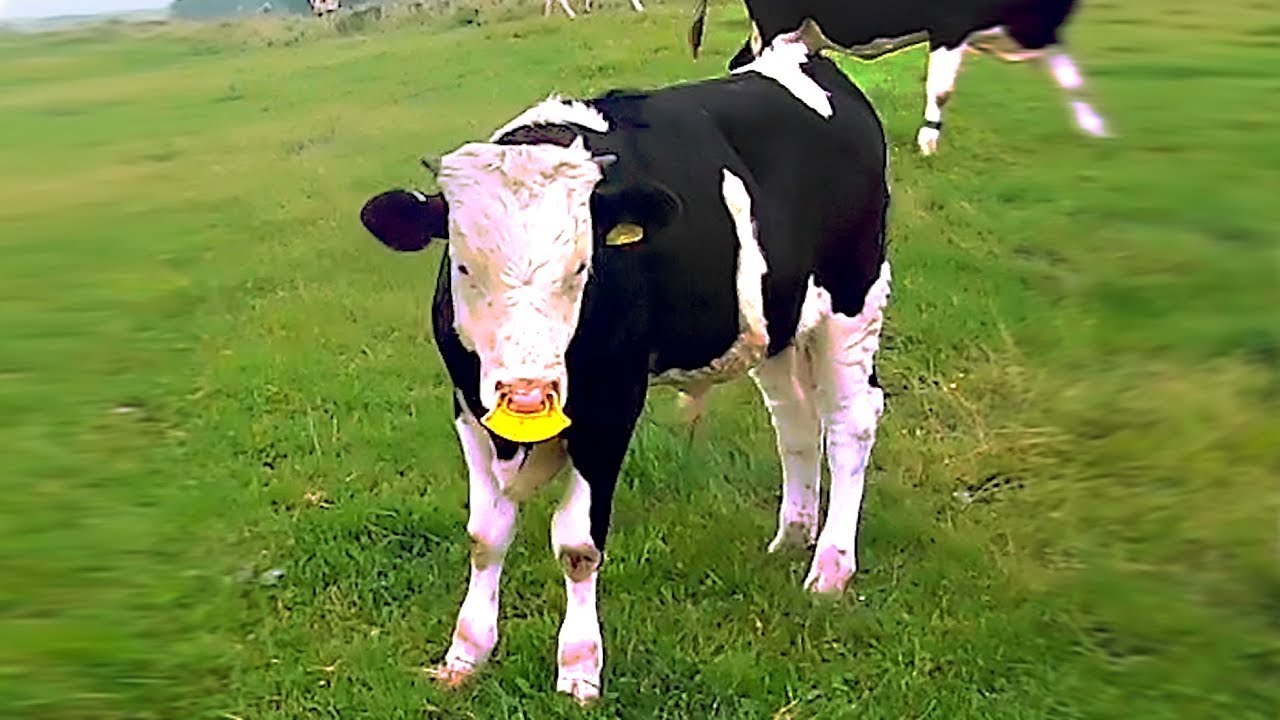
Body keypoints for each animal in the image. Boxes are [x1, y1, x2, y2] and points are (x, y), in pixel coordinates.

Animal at [357, 27, 892, 704]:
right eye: (462, 266)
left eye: (583, 266)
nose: (526, 395)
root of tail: (800, 57)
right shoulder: (468, 406)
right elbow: (484, 536)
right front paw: (466, 653)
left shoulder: (611, 408)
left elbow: (577, 543)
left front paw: (579, 668)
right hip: (777, 318)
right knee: (795, 422)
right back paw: (792, 536)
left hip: (855, 293)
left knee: (851, 422)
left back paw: (829, 566)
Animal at [688, 0, 1109, 156]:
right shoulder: (950, 27)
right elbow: (941, 90)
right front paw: (928, 143)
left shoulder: (1039, 31)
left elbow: (1073, 80)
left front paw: (1096, 130)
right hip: (780, 25)